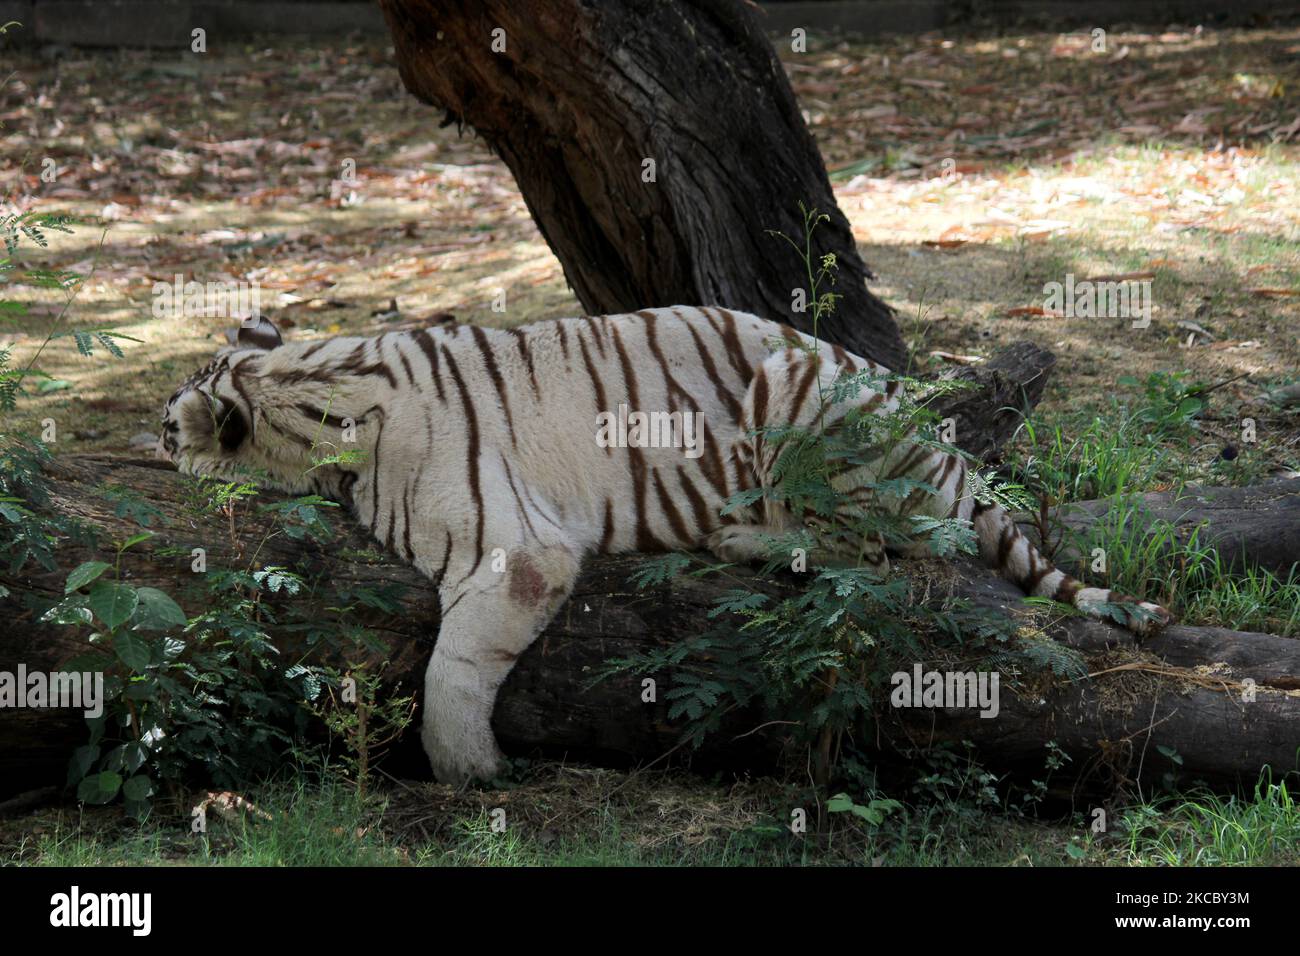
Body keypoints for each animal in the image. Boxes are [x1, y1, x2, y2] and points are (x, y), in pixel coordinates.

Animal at [160, 306, 1172, 783]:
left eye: (170, 432)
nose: (151, 437)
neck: (308, 391)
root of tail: (952, 455)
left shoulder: (515, 552)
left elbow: (454, 668)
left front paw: (466, 770)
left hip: (800, 393)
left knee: (880, 550)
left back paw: (747, 537)